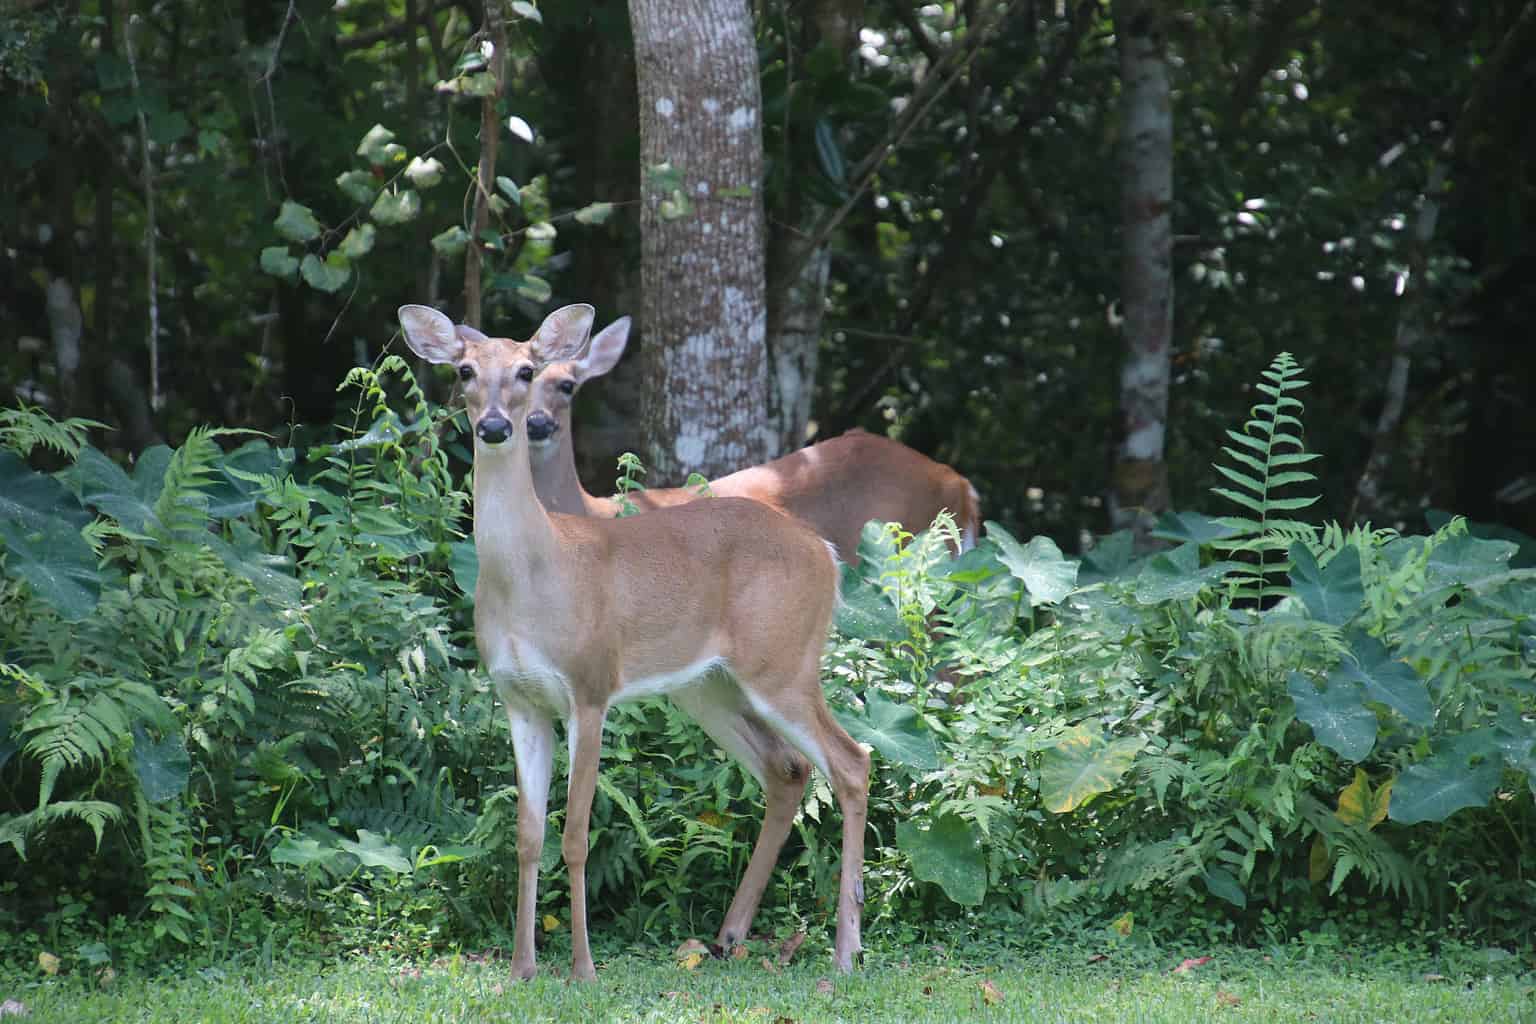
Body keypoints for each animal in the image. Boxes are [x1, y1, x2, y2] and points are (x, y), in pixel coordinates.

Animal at [397, 302, 870, 982]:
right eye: (464, 371)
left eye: (527, 370)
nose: (495, 426)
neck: (535, 577)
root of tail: (825, 552)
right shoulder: (518, 699)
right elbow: (528, 835)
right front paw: (521, 971)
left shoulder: (590, 686)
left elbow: (574, 834)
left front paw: (583, 970)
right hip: (708, 686)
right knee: (788, 768)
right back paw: (729, 936)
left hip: (783, 660)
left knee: (851, 761)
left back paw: (846, 952)